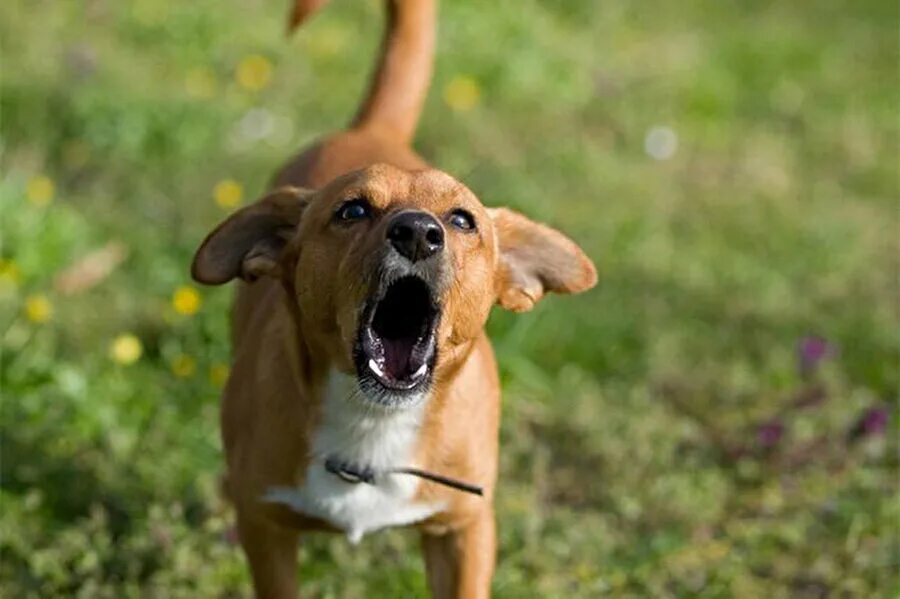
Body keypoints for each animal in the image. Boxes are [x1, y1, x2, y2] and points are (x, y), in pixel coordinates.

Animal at [191, 0, 596, 596]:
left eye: (462, 220)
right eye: (353, 210)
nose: (418, 233)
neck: (373, 424)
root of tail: (371, 127)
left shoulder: (465, 530)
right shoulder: (266, 527)